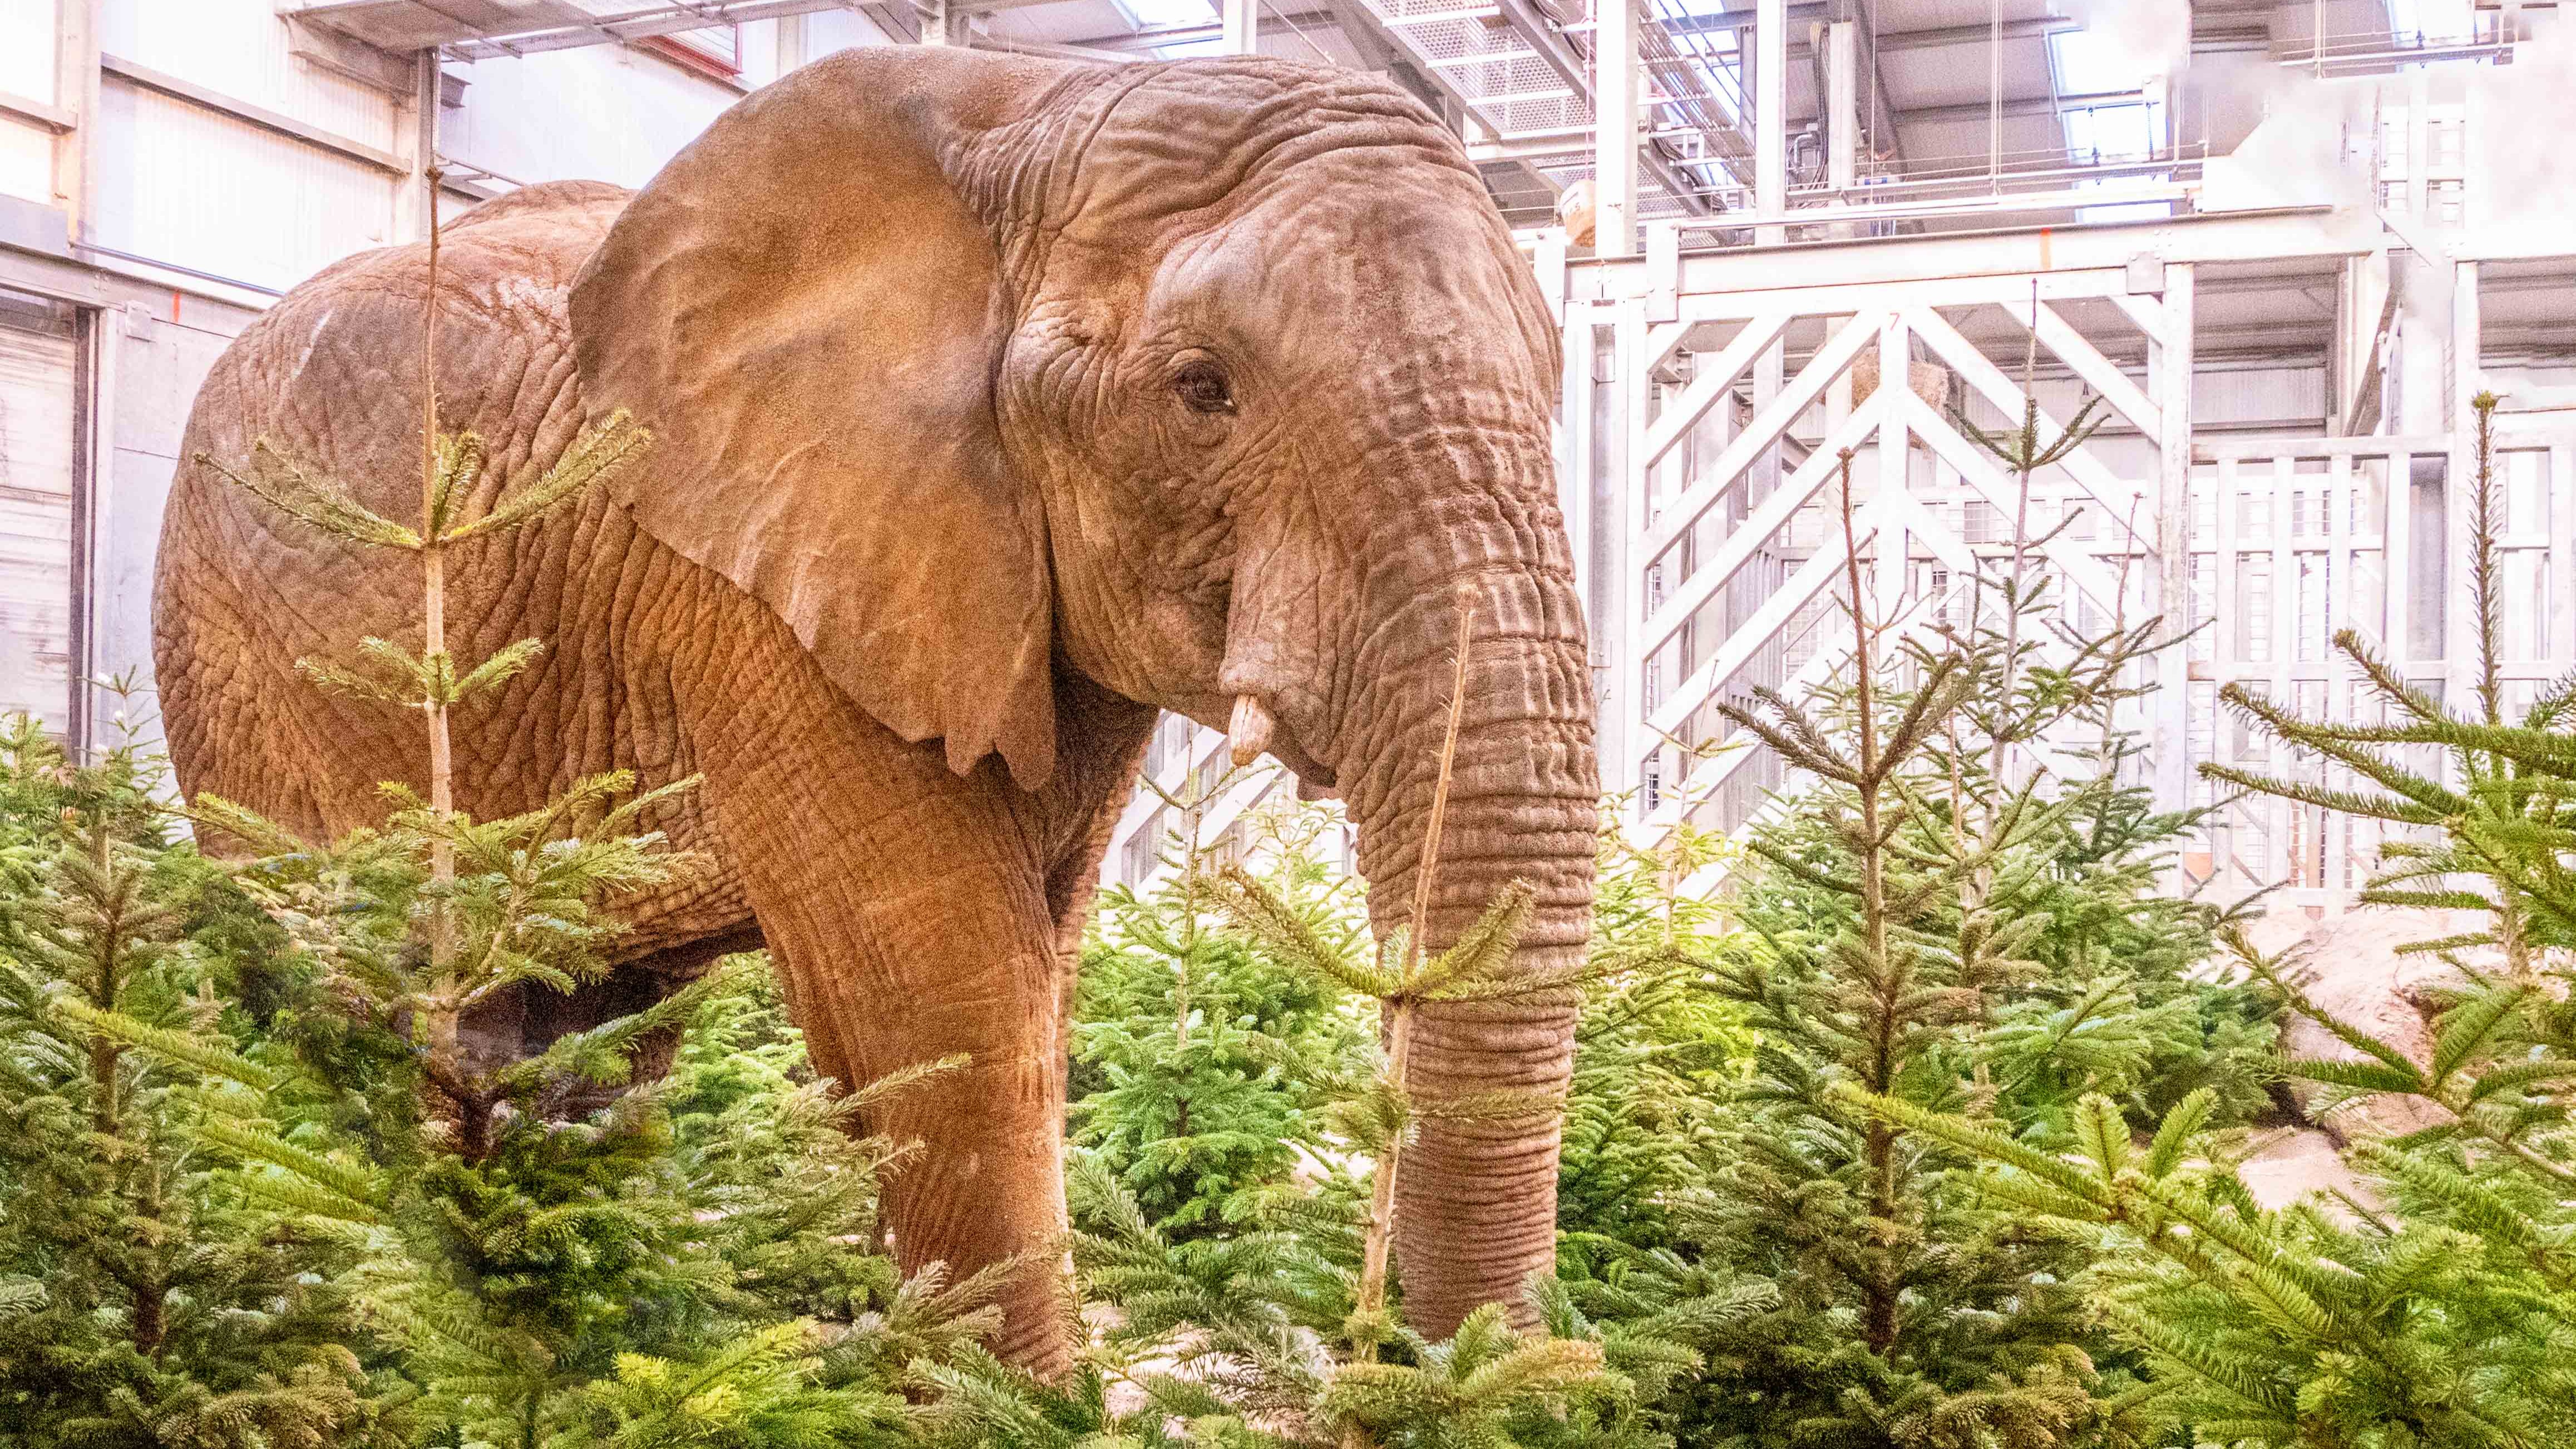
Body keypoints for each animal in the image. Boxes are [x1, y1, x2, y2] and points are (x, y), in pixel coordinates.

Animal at [153, 45, 1597, 1371]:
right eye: (1203, 388)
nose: (1516, 1377)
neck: (1033, 111)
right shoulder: (760, 595)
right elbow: (949, 994)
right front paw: (1027, 1410)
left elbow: (1039, 968)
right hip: (235, 661)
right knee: (356, 982)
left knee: (586, 1029)